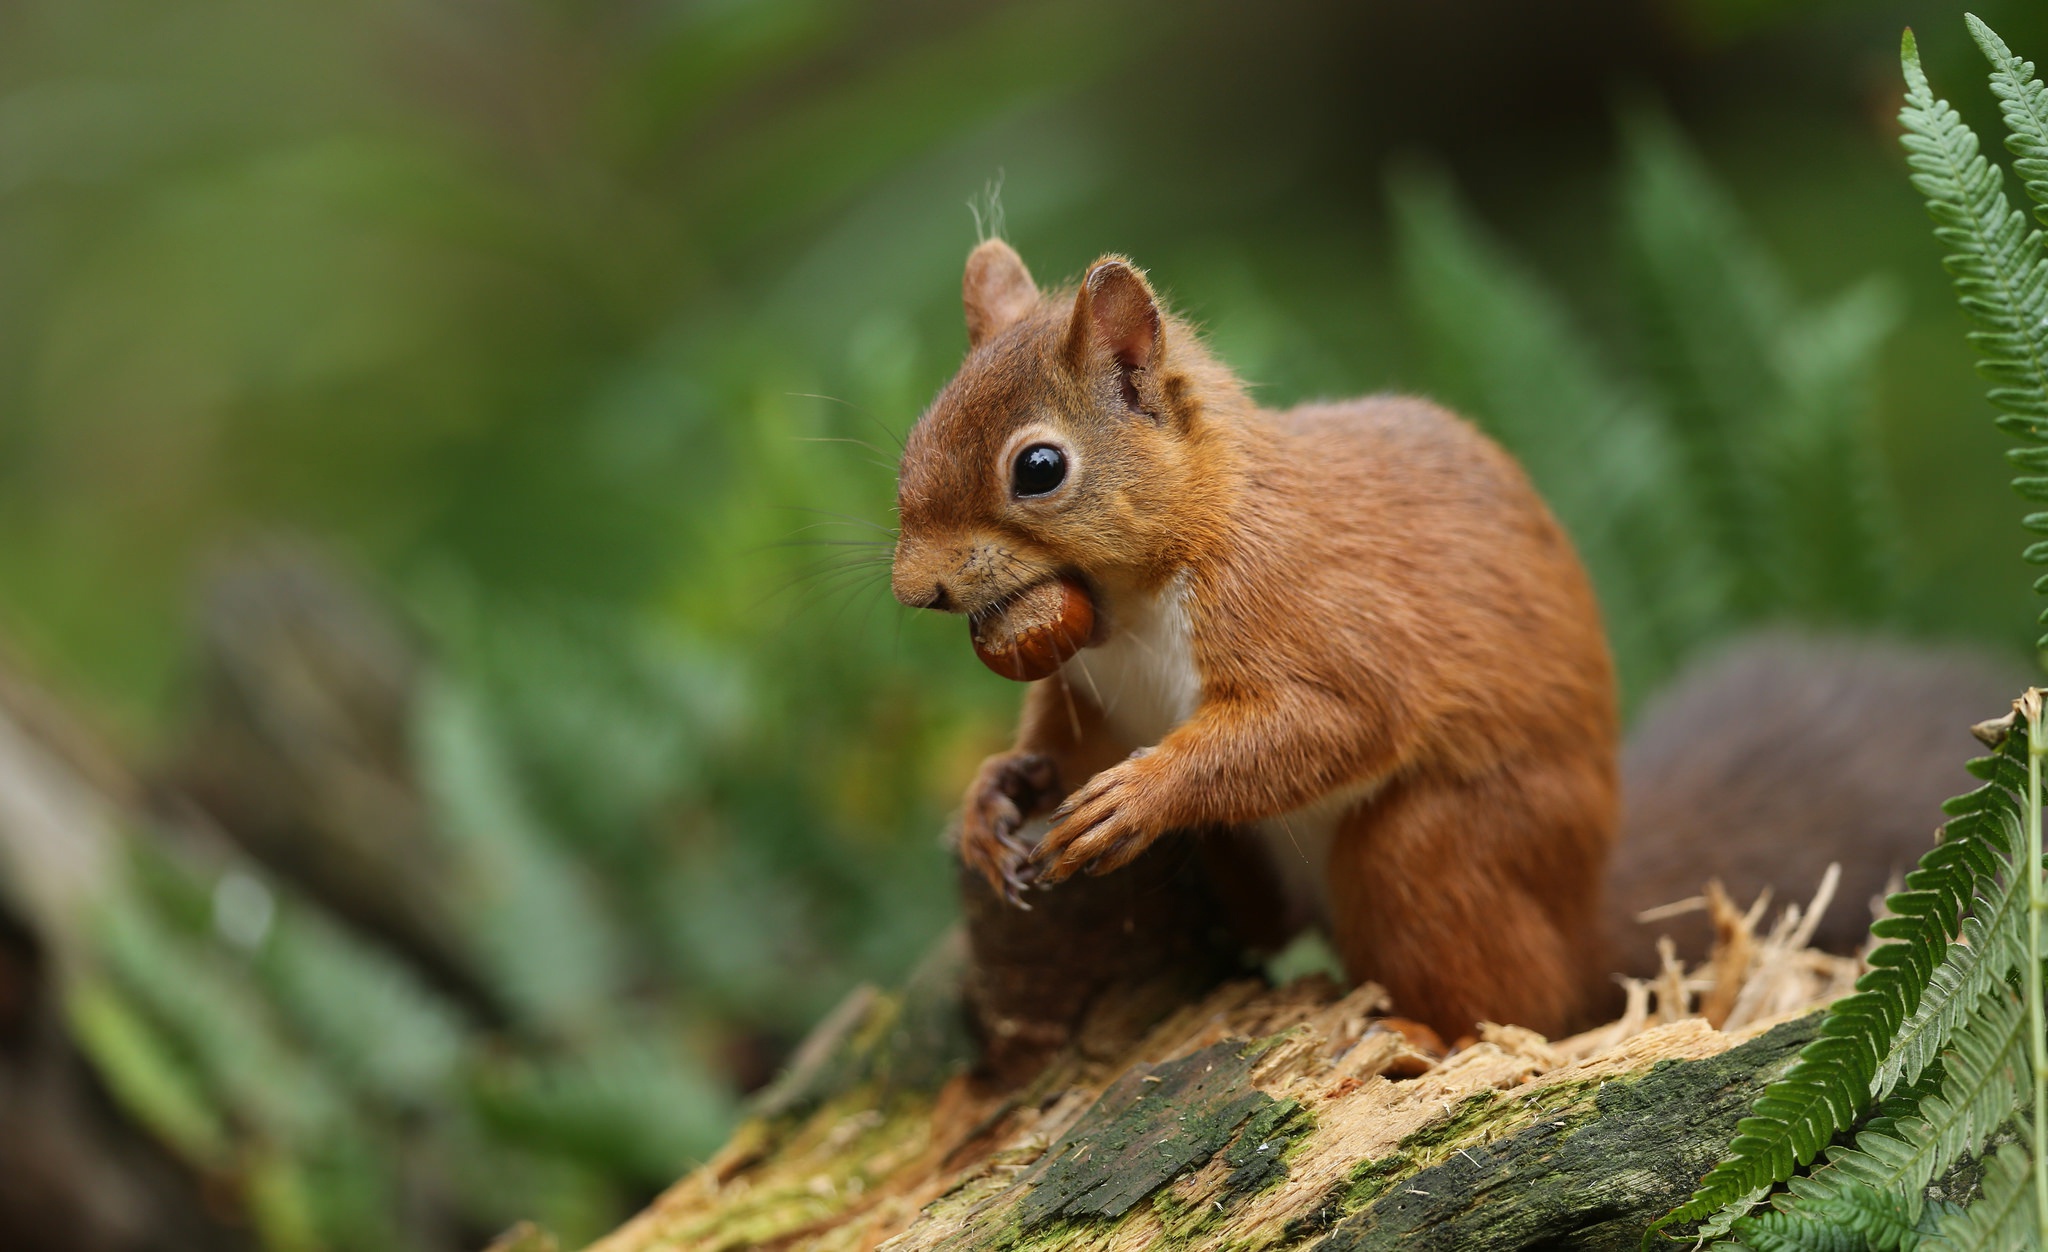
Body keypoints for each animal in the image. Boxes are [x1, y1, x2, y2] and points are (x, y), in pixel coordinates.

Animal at [891, 240, 1618, 1040]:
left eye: (1039, 469)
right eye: (916, 439)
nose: (912, 588)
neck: (1129, 616)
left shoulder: (1308, 611)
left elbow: (1339, 717)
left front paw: (1138, 796)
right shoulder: (1090, 694)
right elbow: (1063, 747)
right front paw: (995, 792)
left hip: (1440, 851)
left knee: (1517, 1000)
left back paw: (1416, 1034)